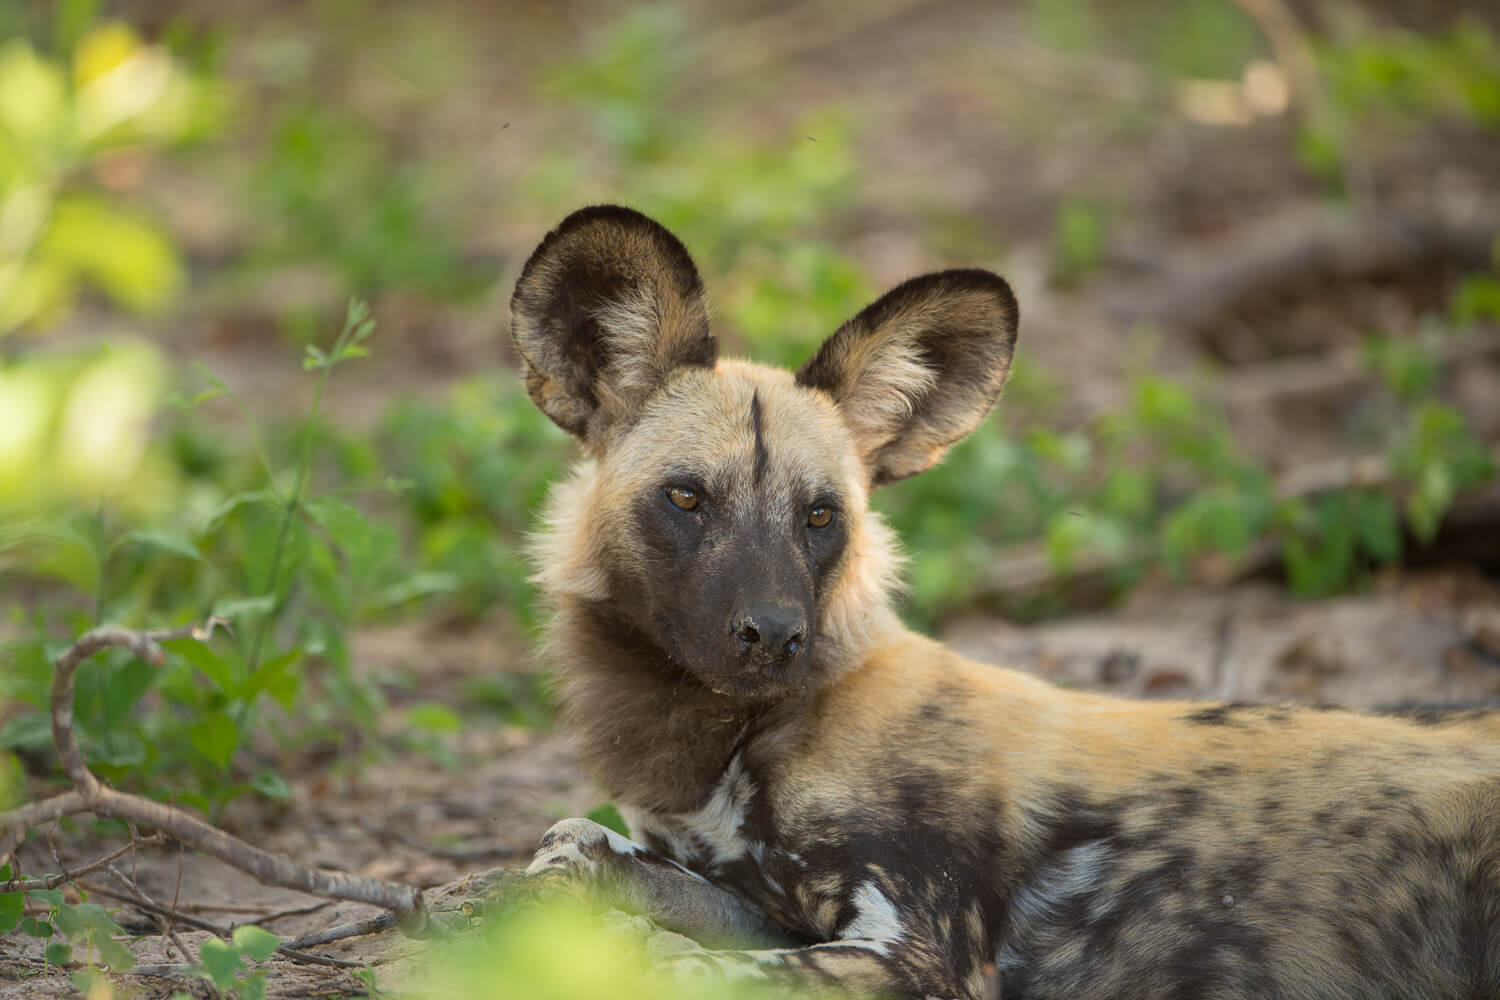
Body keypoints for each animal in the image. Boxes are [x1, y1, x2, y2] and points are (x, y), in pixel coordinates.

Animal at [510, 204, 1500, 999]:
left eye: (821, 515)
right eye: (686, 497)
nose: (776, 636)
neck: (730, 740)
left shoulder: (915, 949)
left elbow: (682, 965)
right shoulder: (743, 893)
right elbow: (572, 850)